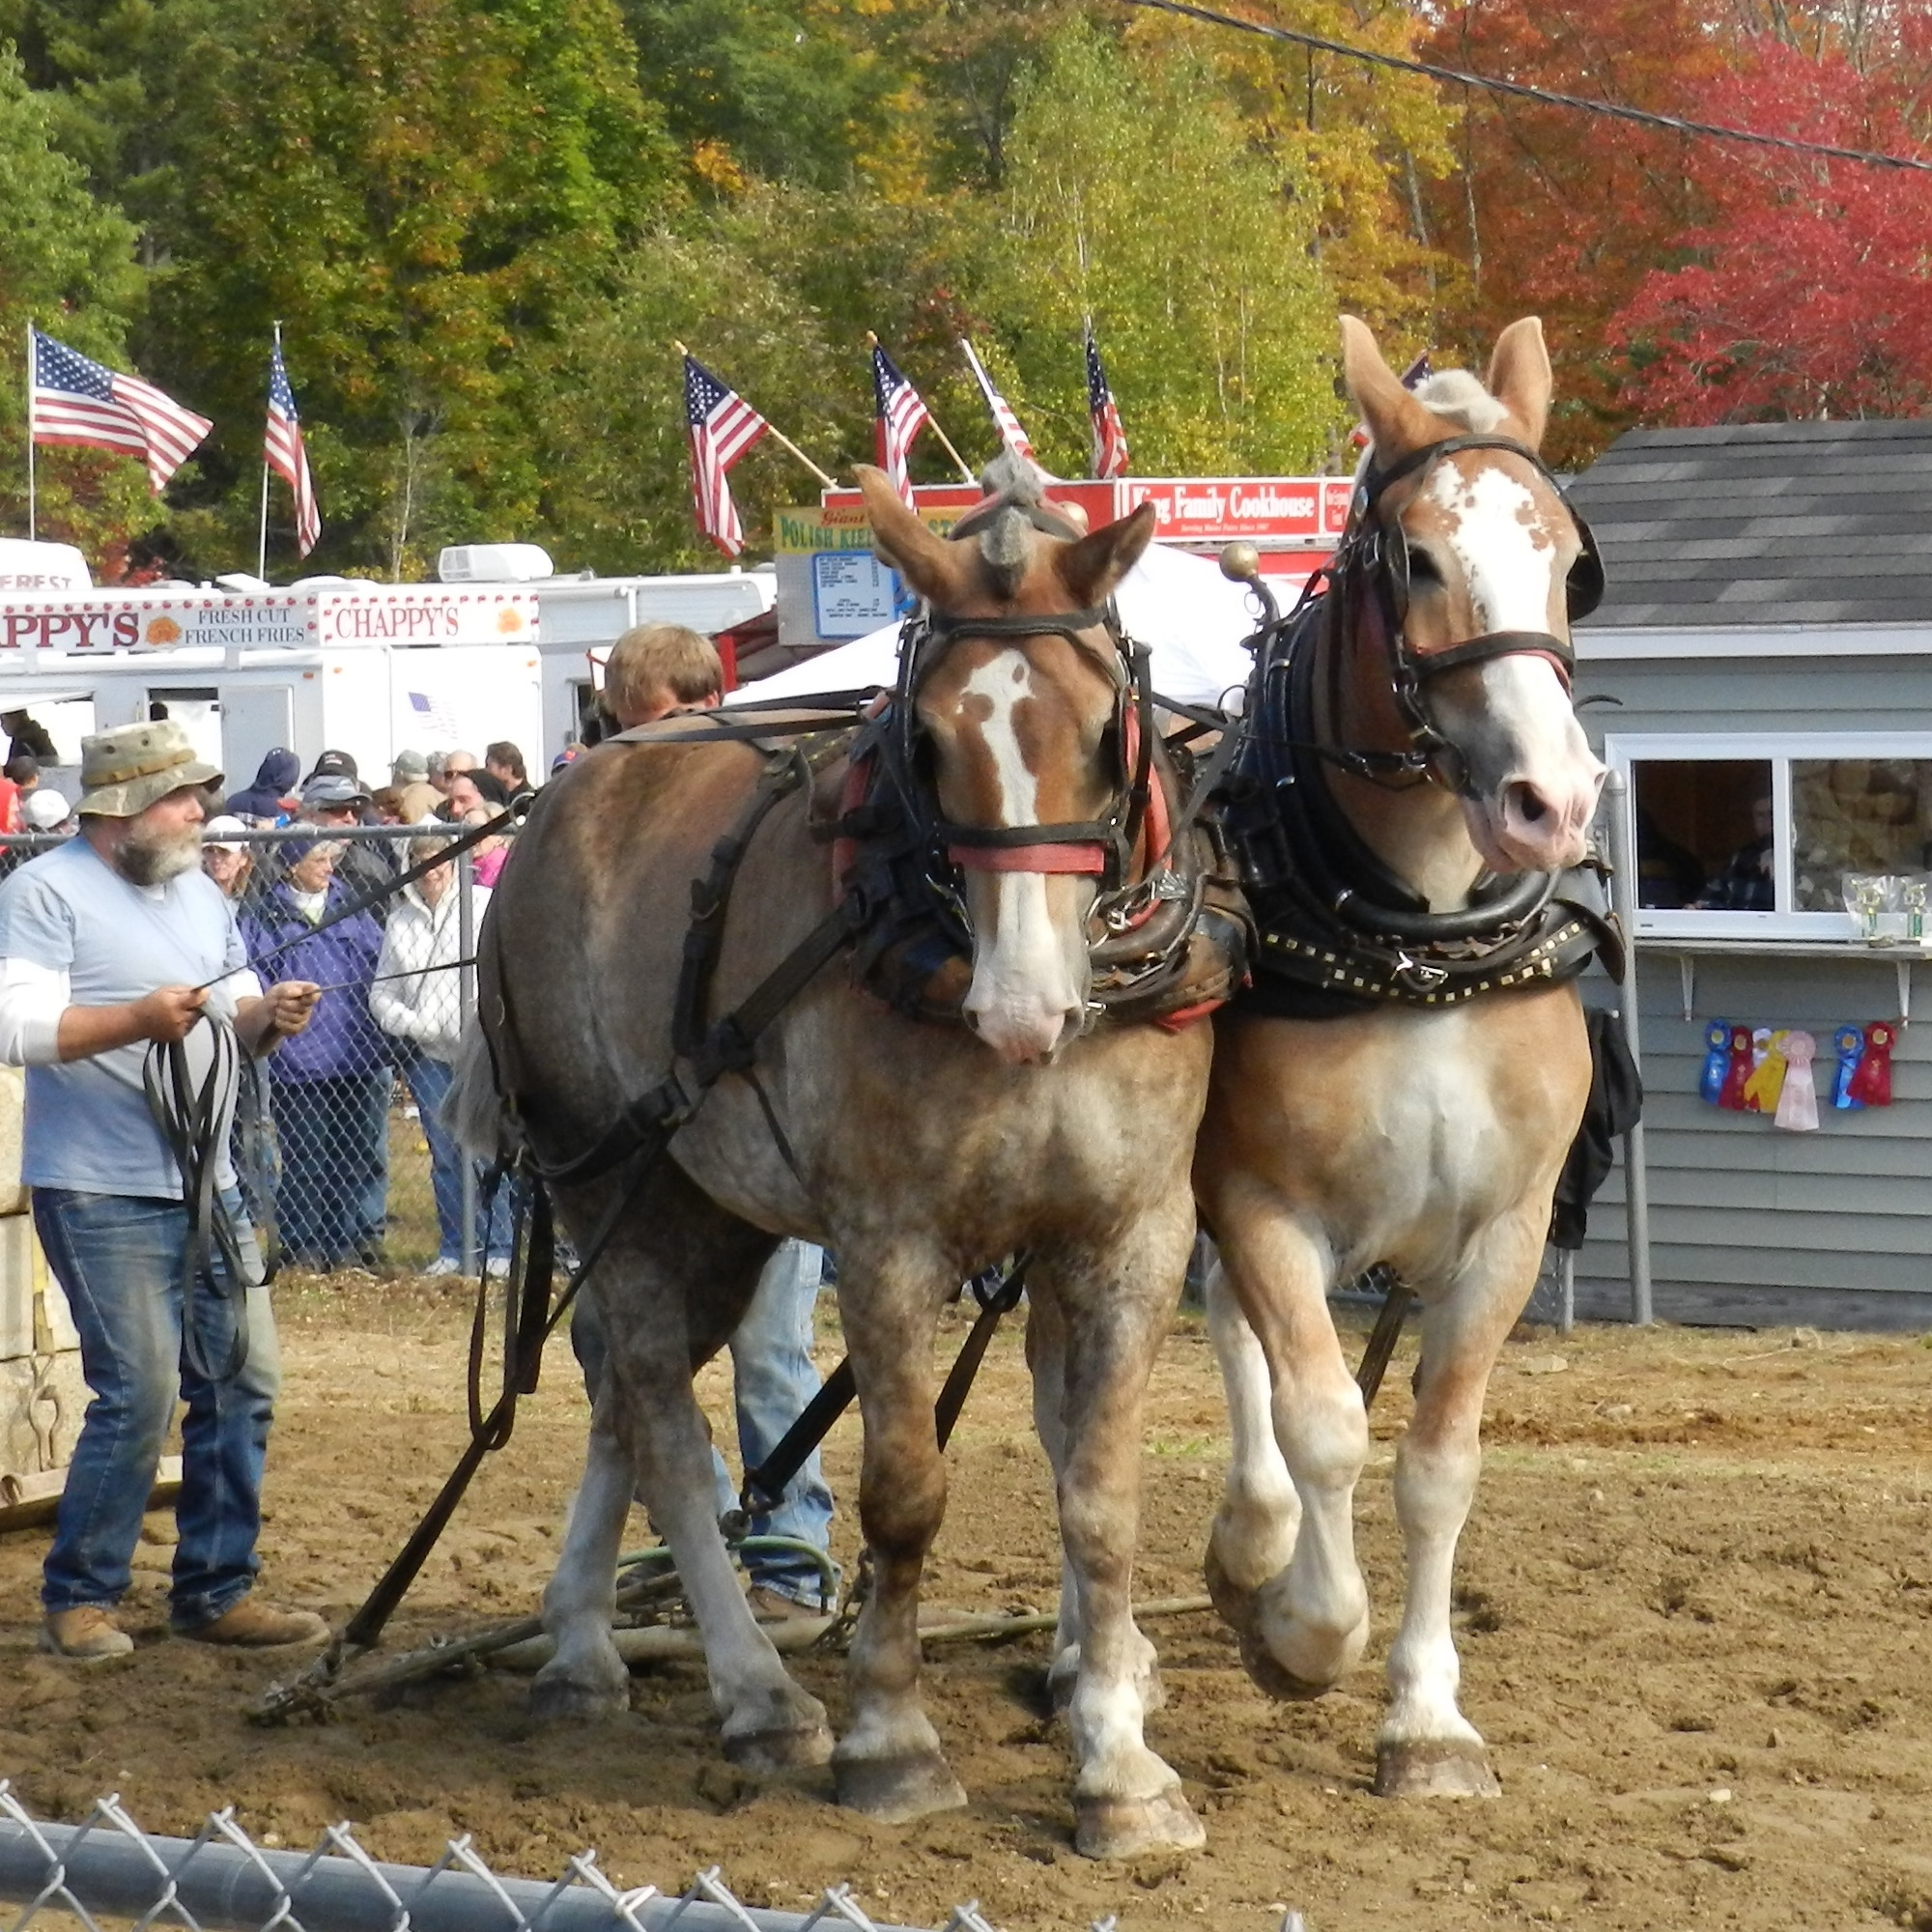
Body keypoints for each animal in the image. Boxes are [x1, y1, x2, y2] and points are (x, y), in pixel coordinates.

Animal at [452, 461, 1223, 1858]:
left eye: (1106, 731)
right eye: (932, 742)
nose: (1020, 1008)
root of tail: (570, 783)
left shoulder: (1129, 1236)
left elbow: (1101, 1496)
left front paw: (1122, 1769)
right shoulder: (887, 1244)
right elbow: (904, 1493)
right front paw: (891, 1741)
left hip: (708, 1212)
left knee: (616, 1389)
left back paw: (579, 1652)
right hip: (610, 1182)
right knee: (661, 1414)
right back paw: (759, 1696)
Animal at [1193, 314, 1612, 1798]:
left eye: (1566, 558)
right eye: (1418, 560)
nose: (1552, 801)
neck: (1418, 947)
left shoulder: (1504, 1230)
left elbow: (1437, 1460)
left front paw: (1428, 1717)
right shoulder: (1258, 1202)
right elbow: (1321, 1419)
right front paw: (1307, 1630)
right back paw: (1250, 1548)